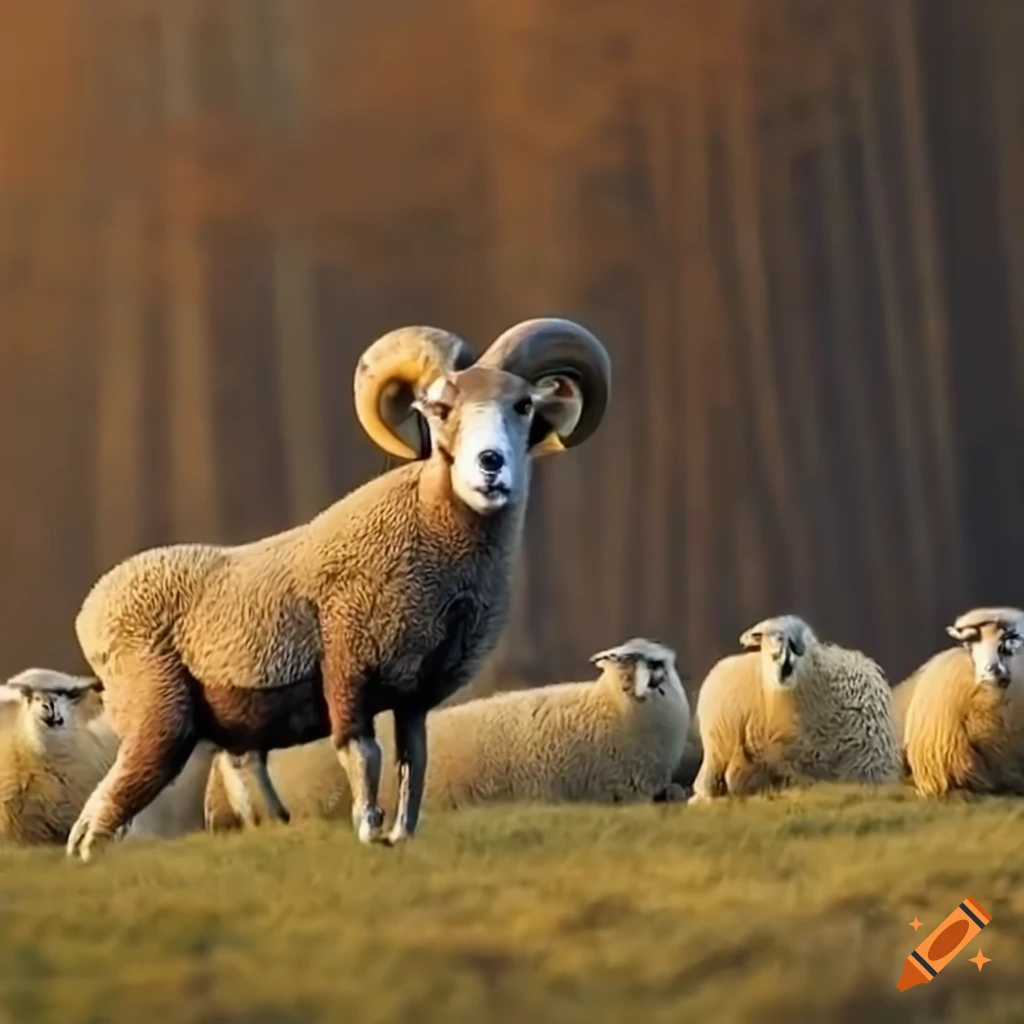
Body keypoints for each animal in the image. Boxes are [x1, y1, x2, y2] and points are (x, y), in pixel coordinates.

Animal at [67, 318, 611, 860]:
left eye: (522, 405)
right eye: (440, 408)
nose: (490, 464)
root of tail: (91, 611)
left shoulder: (415, 696)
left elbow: (414, 762)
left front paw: (402, 834)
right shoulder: (350, 675)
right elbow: (363, 752)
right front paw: (370, 831)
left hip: (219, 735)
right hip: (160, 725)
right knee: (103, 814)